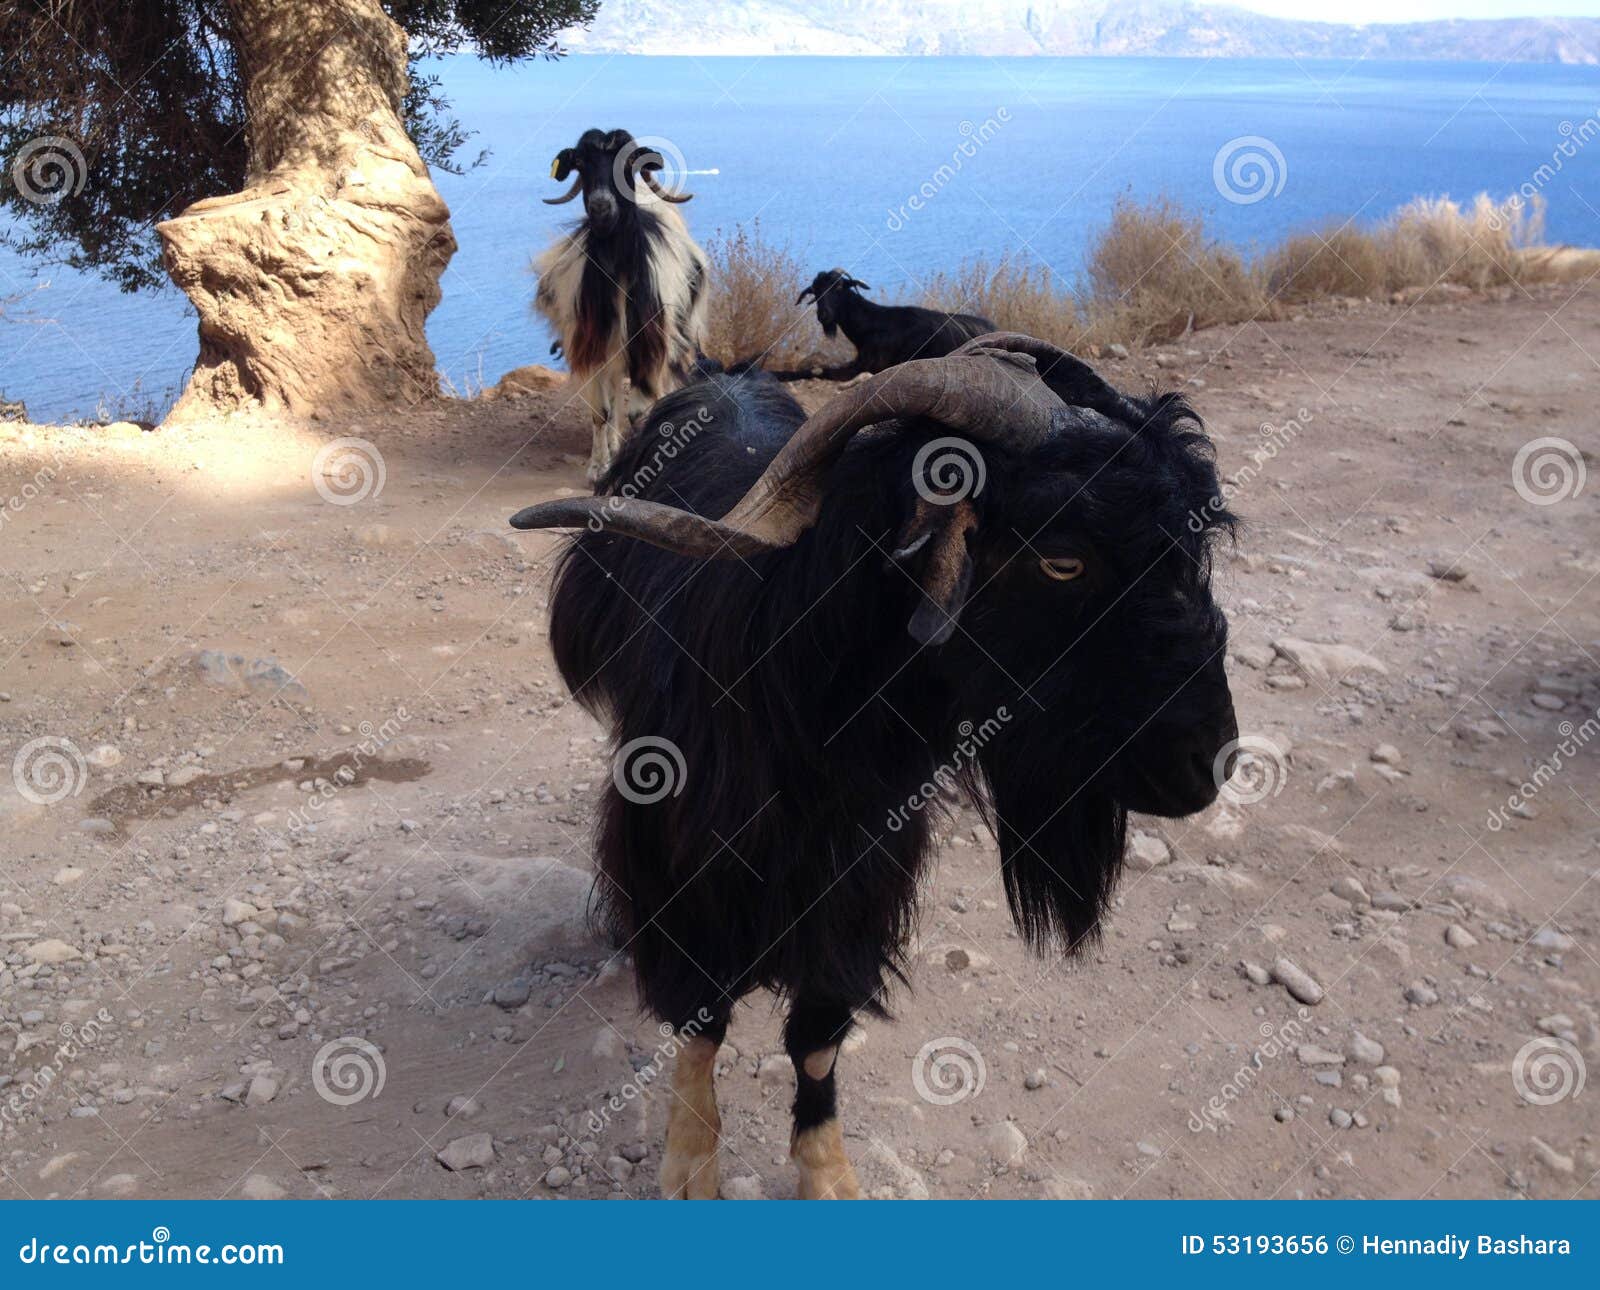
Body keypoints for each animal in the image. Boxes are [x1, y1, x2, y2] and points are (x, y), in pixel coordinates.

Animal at [509, 333, 1239, 1199]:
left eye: (1193, 547)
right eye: (1062, 561)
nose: (1209, 763)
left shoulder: (862, 880)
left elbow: (819, 1032)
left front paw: (827, 1172)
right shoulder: (684, 864)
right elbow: (700, 1014)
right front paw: (690, 1165)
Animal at [533, 128, 710, 483]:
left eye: (628, 163)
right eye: (581, 163)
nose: (601, 206)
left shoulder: (650, 348)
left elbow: (638, 411)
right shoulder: (592, 345)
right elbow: (602, 411)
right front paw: (598, 467)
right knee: (614, 391)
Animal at [779, 267, 995, 381]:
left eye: (839, 286)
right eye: (815, 291)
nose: (824, 315)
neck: (871, 322)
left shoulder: (867, 366)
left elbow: (820, 371)